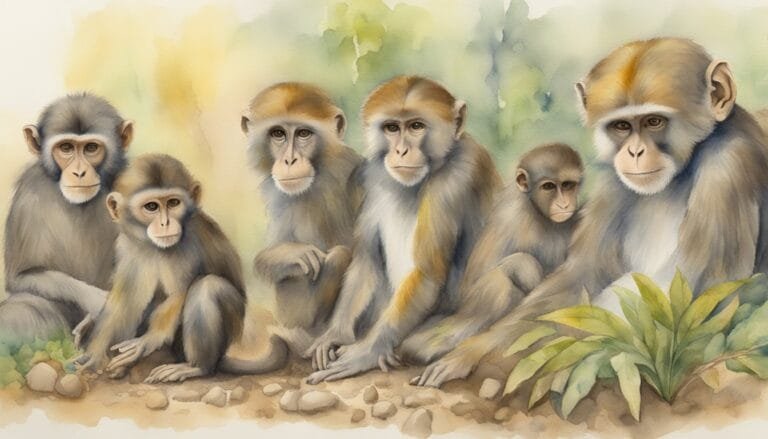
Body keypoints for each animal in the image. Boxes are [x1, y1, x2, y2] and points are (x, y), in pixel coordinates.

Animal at [0, 93, 132, 346]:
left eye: (91, 148)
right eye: (66, 148)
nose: (79, 172)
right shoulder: (27, 193)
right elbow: (24, 276)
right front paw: (96, 302)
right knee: (19, 313)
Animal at [77, 154, 248, 382]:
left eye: (173, 203)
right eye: (151, 207)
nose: (165, 223)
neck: (152, 246)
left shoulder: (186, 245)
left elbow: (178, 294)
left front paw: (148, 341)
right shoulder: (127, 245)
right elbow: (125, 301)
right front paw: (95, 354)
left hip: (234, 323)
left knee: (208, 287)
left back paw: (196, 367)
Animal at [238, 82, 364, 372]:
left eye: (304, 133)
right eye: (278, 134)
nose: (289, 161)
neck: (321, 173)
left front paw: (336, 336)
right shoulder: (278, 194)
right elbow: (274, 253)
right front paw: (291, 253)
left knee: (339, 256)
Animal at [306, 75, 503, 383]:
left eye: (416, 126)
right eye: (391, 128)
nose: (401, 151)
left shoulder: (458, 175)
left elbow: (427, 272)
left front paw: (368, 352)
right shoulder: (372, 175)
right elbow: (367, 259)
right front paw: (336, 334)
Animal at [402, 143, 583, 369]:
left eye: (568, 185)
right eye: (549, 186)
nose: (564, 204)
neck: (536, 212)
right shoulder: (510, 216)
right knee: (509, 273)